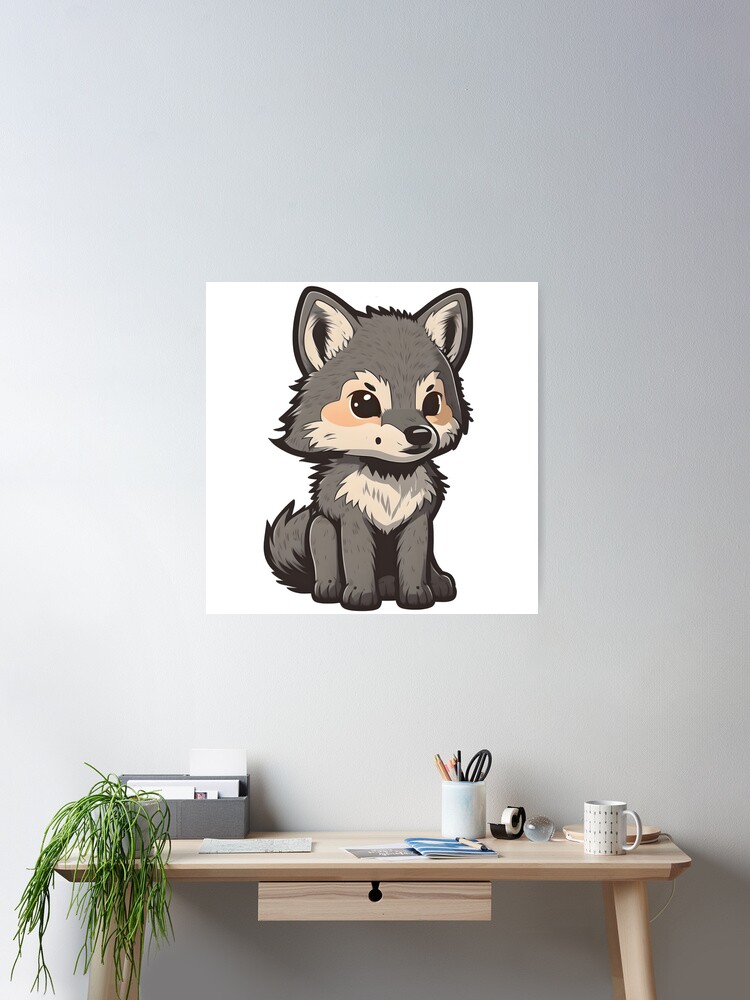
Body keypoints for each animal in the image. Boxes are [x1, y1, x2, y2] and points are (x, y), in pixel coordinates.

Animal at [264, 286, 472, 610]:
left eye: (432, 403)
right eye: (363, 403)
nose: (420, 434)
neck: (389, 480)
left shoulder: (418, 521)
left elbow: (414, 562)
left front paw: (416, 595)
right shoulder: (352, 520)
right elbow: (358, 562)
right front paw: (360, 596)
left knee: (423, 567)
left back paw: (431, 583)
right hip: (321, 527)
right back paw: (329, 588)